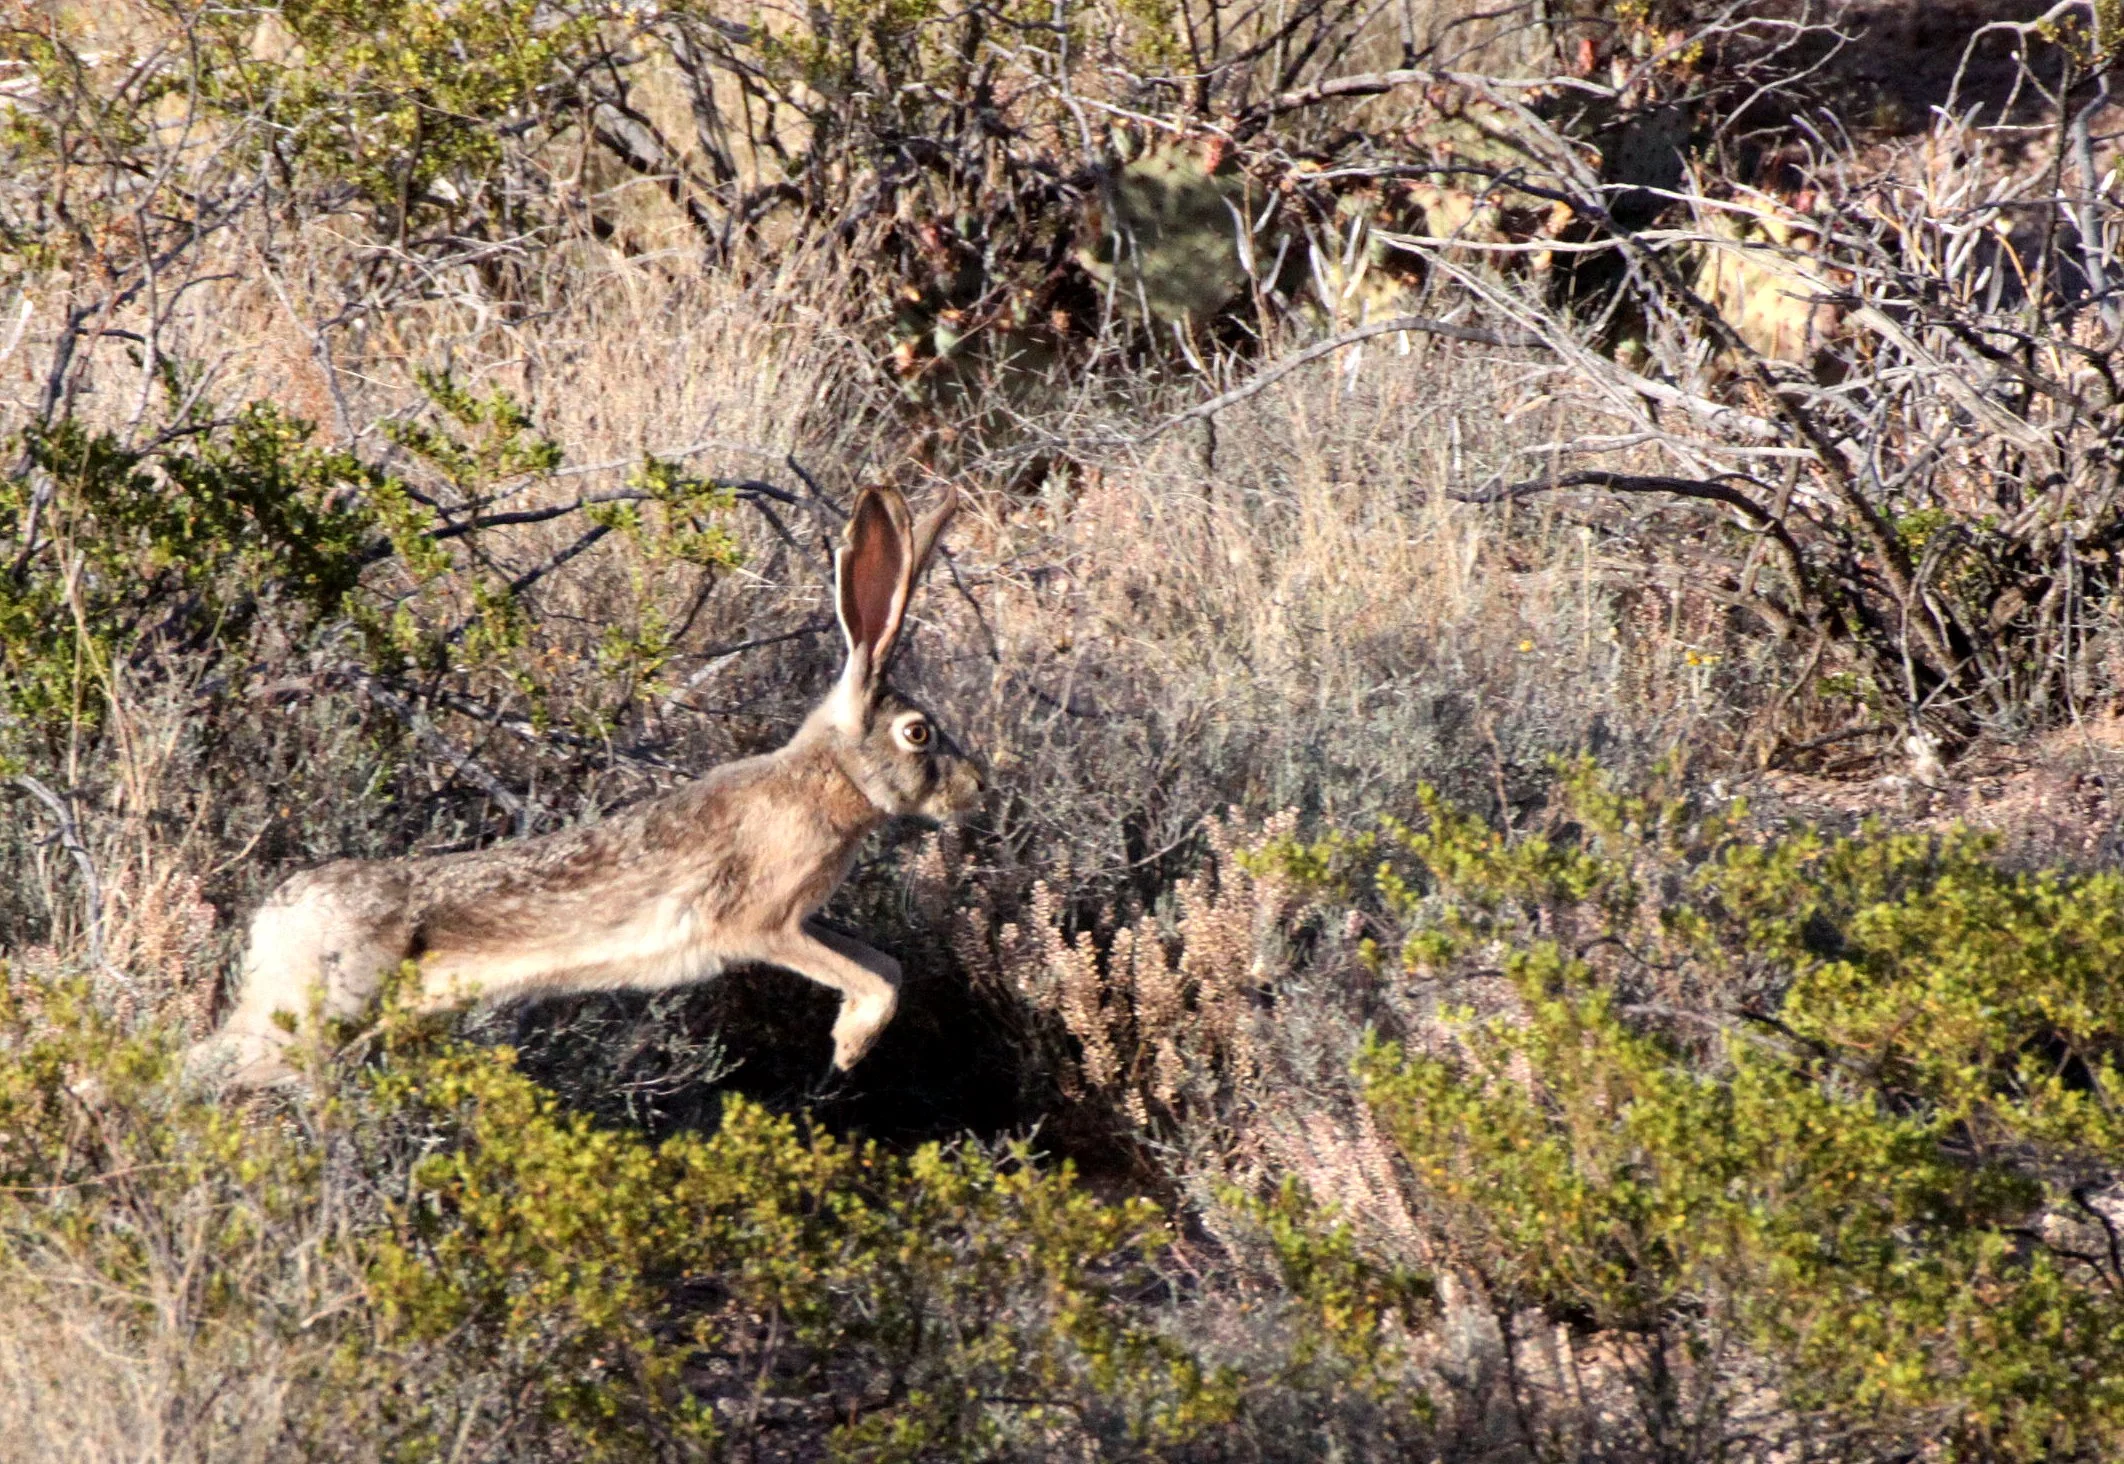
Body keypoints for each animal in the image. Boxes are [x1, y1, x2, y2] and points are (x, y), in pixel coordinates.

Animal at [191, 484, 981, 1088]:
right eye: (918, 733)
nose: (973, 788)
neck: (829, 776)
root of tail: (273, 919)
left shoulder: (805, 923)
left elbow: (887, 966)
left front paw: (847, 1046)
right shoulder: (762, 924)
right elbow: (872, 979)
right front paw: (850, 1050)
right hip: (314, 1016)